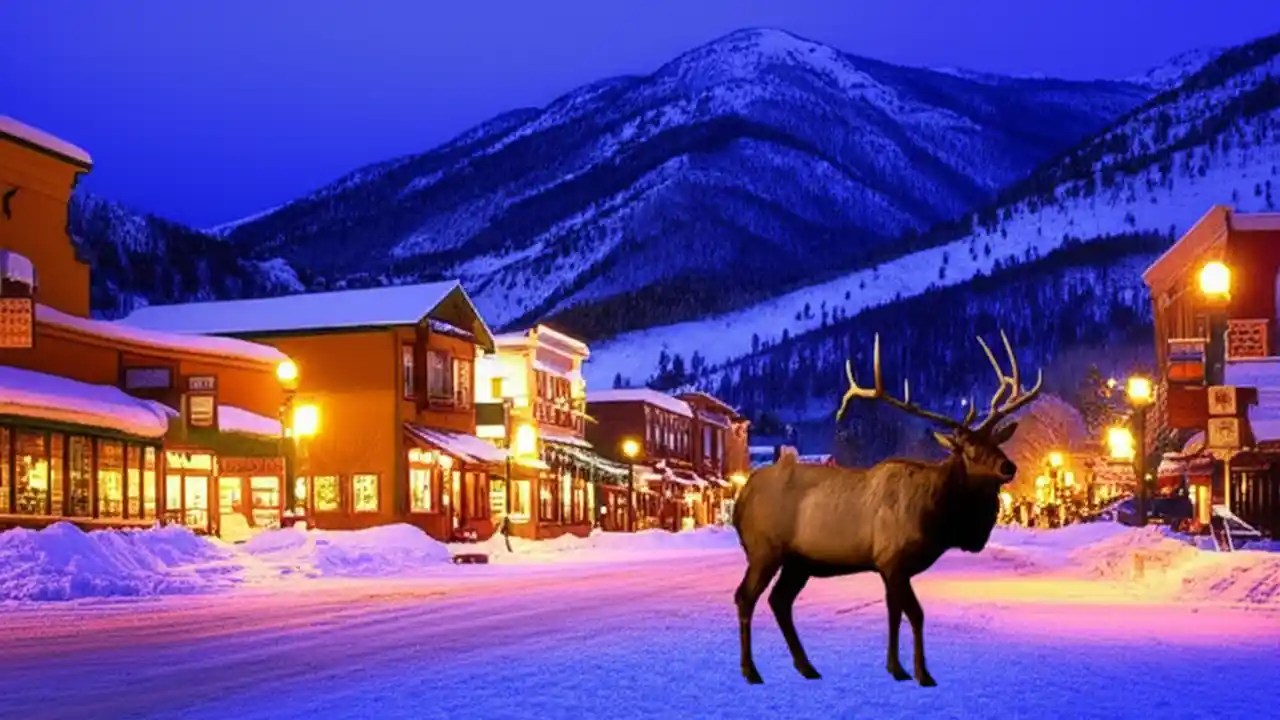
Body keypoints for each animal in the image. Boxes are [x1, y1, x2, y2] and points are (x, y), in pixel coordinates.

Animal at [732, 330, 1041, 686]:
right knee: (746, 597)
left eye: (996, 443)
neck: (941, 520)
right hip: (764, 550)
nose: (1009, 467)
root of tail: (741, 499)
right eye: (970, 450)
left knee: (779, 601)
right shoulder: (892, 559)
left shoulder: (890, 567)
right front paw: (922, 673)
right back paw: (751, 671)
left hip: (799, 562)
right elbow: (915, 614)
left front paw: (897, 668)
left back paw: (807, 667)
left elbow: (894, 613)